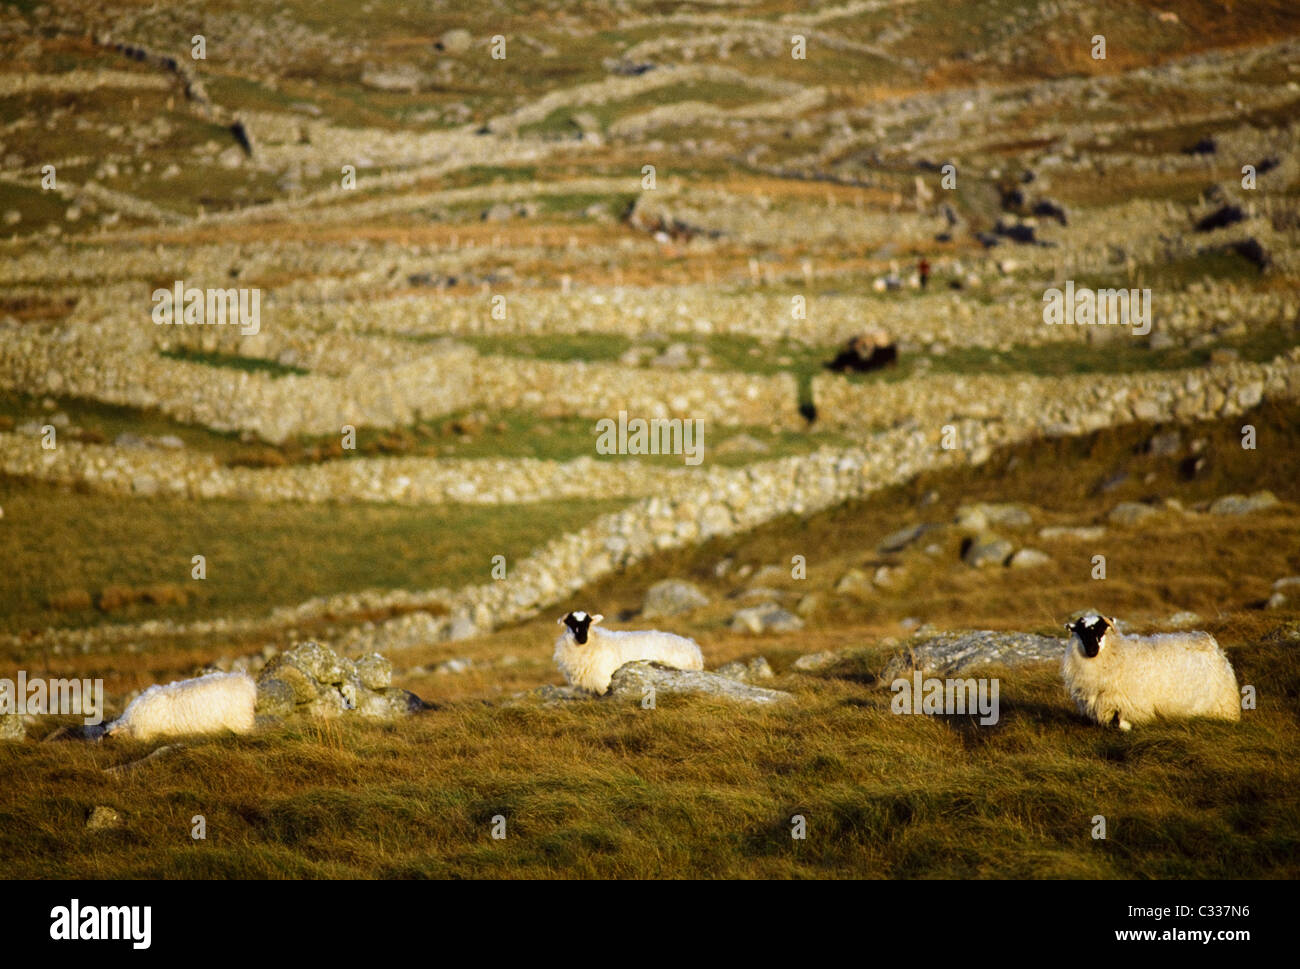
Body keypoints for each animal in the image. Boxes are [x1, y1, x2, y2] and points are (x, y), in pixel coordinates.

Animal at [1061, 615, 1240, 730]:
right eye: (1082, 632)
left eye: (1101, 630)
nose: (1092, 650)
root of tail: (1210, 643)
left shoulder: (1129, 702)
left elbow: (1121, 724)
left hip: (1222, 704)